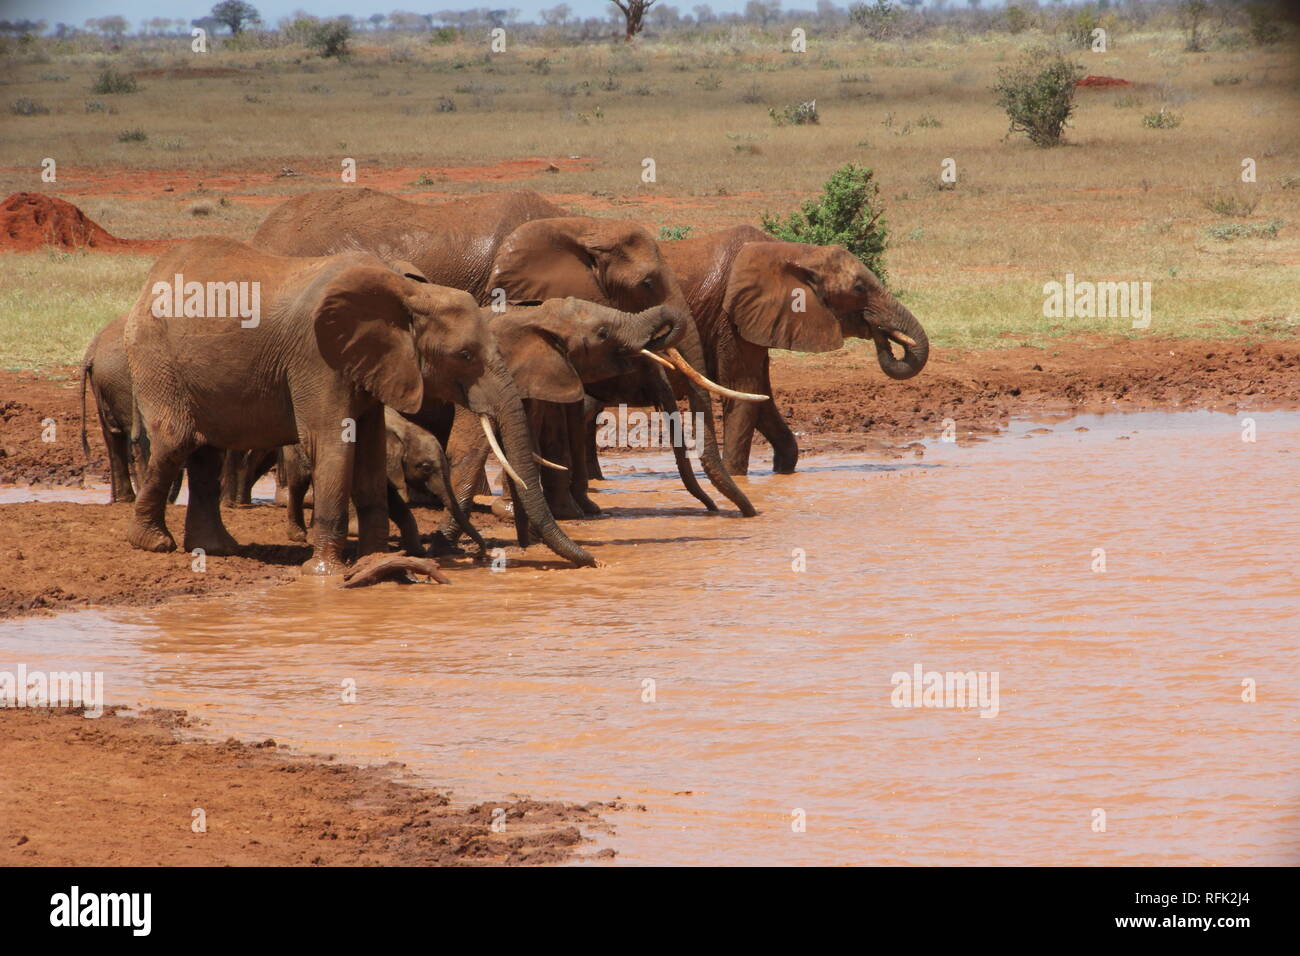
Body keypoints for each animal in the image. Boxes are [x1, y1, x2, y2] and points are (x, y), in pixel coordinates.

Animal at [123, 236, 595, 573]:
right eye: (464, 355)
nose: (593, 561)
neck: (407, 293)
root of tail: (147, 283)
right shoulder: (316, 357)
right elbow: (333, 444)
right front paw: (326, 573)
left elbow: (369, 453)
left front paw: (373, 559)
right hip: (155, 357)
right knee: (177, 442)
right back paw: (152, 543)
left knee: (206, 452)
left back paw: (217, 548)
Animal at [656, 225, 930, 475]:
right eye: (859, 289)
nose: (878, 330)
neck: (796, 252)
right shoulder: (731, 317)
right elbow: (742, 388)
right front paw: (735, 476)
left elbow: (760, 395)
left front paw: (782, 469)